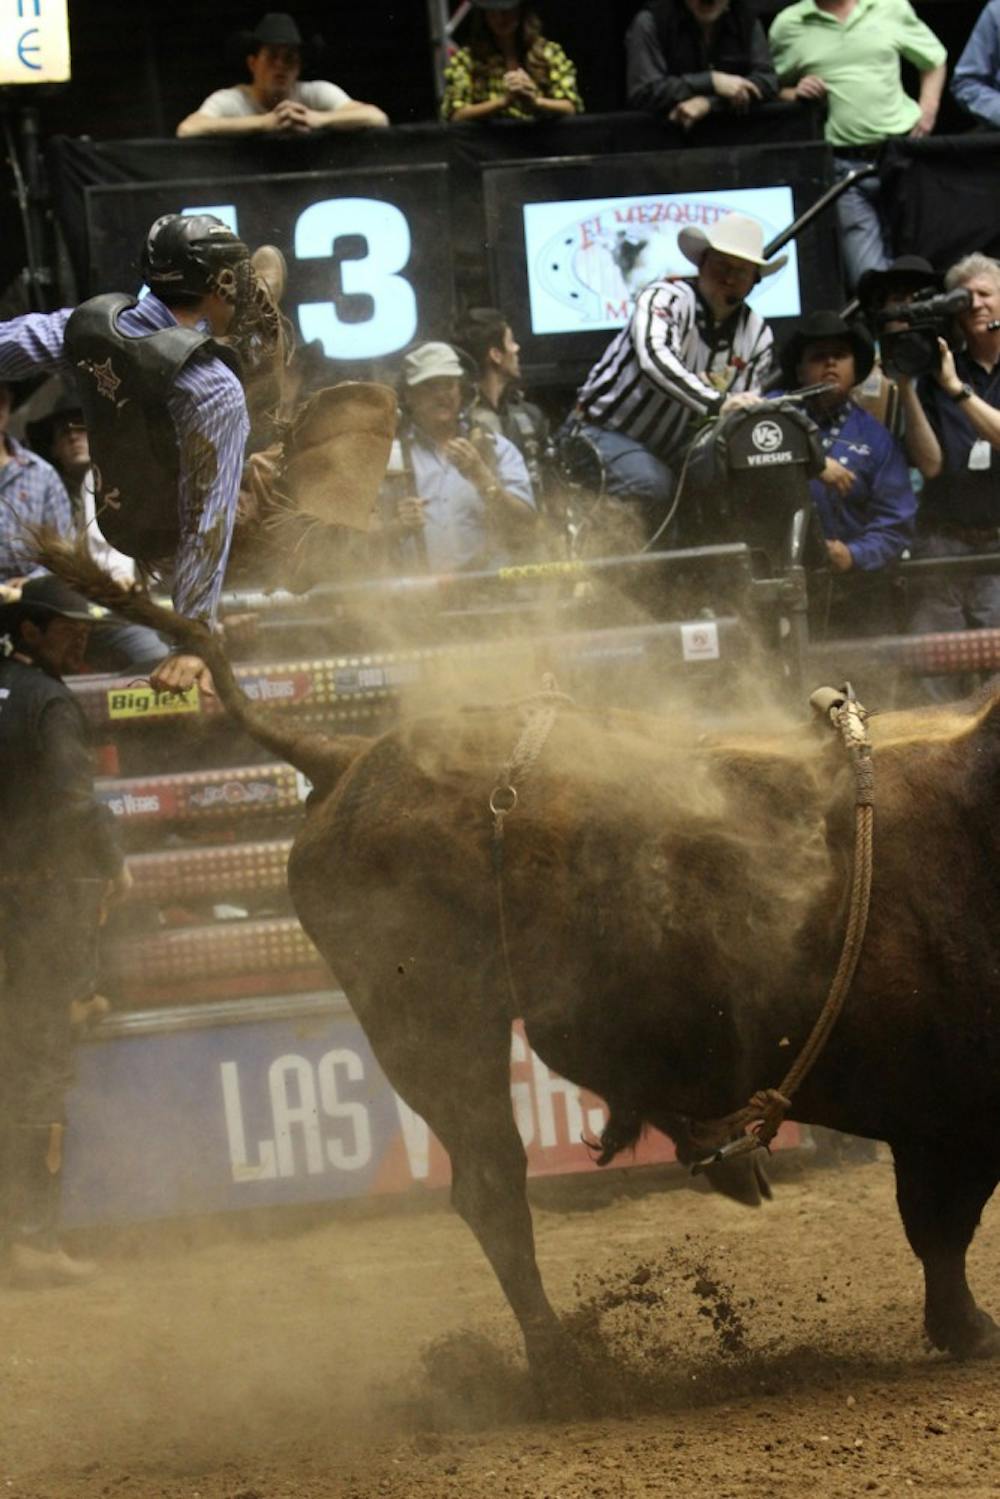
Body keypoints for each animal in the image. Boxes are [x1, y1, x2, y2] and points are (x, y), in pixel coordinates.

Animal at [38, 537, 1000, 1396]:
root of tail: (347, 758)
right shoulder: (948, 1118)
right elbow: (942, 1229)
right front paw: (967, 1328)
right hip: (433, 1024)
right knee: (492, 1187)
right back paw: (562, 1364)